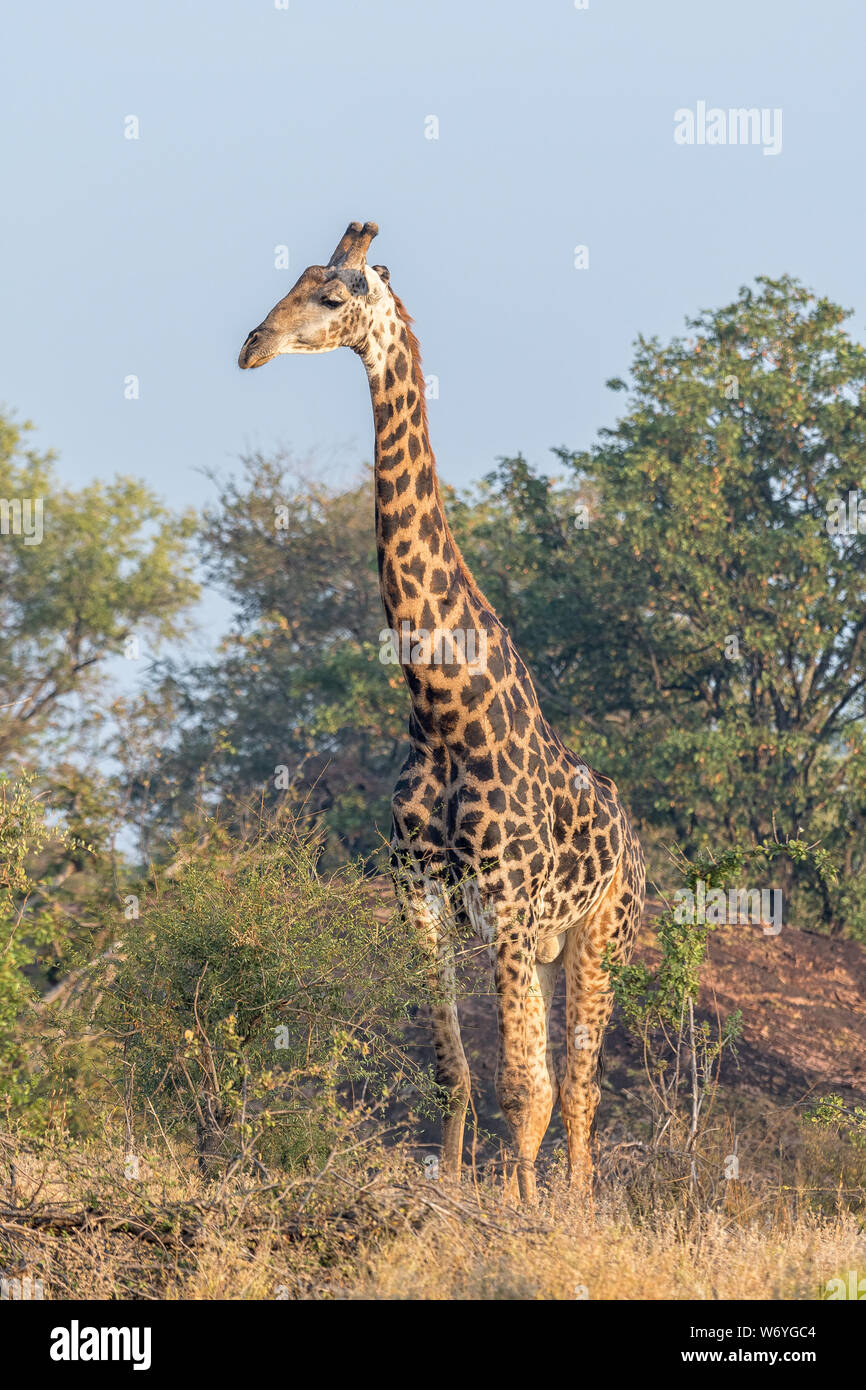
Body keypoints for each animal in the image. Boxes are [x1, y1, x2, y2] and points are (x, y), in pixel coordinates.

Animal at [238, 221, 645, 1203]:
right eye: (293, 282)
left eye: (333, 296)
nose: (252, 347)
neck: (441, 707)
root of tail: (637, 839)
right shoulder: (423, 903)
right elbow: (453, 1071)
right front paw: (455, 1188)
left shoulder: (509, 910)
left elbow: (526, 1089)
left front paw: (521, 1211)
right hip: (550, 945)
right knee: (564, 1081)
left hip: (600, 936)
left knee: (580, 1088)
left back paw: (578, 1206)